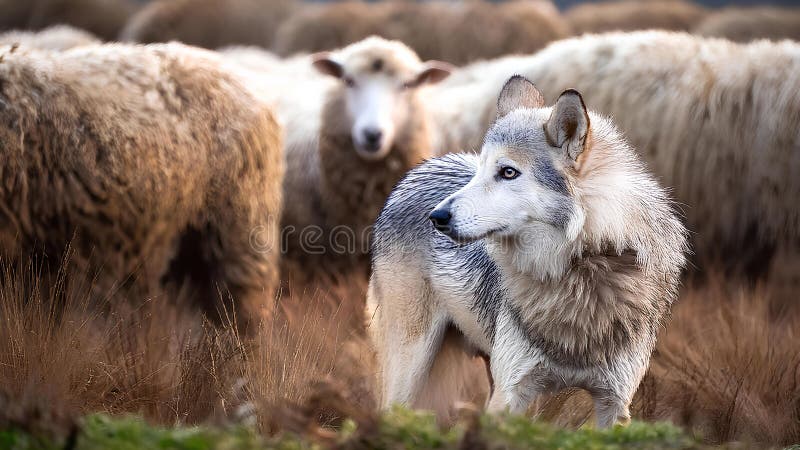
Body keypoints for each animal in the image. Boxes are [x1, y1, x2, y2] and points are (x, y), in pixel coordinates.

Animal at [367, 76, 688, 427]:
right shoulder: (512, 394)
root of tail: (418, 170)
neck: (579, 272)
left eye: (508, 172)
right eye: (480, 170)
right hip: (411, 367)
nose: (437, 216)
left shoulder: (614, 404)